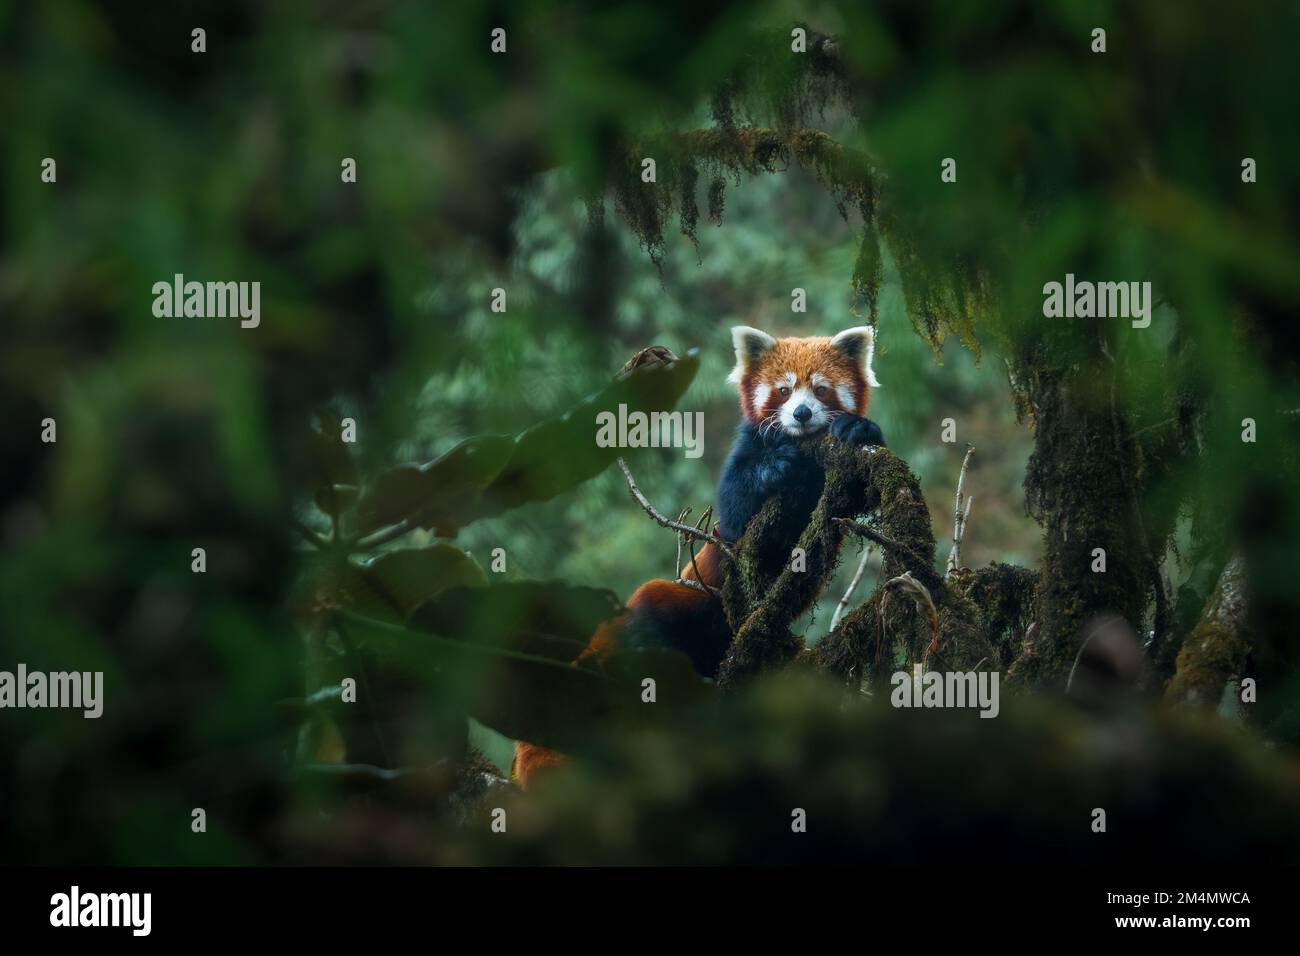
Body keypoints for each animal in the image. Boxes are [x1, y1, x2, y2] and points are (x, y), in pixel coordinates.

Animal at [509, 325, 883, 790]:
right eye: (782, 390)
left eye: (820, 389)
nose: (799, 414)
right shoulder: (743, 465)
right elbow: (737, 512)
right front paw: (775, 466)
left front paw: (860, 429)